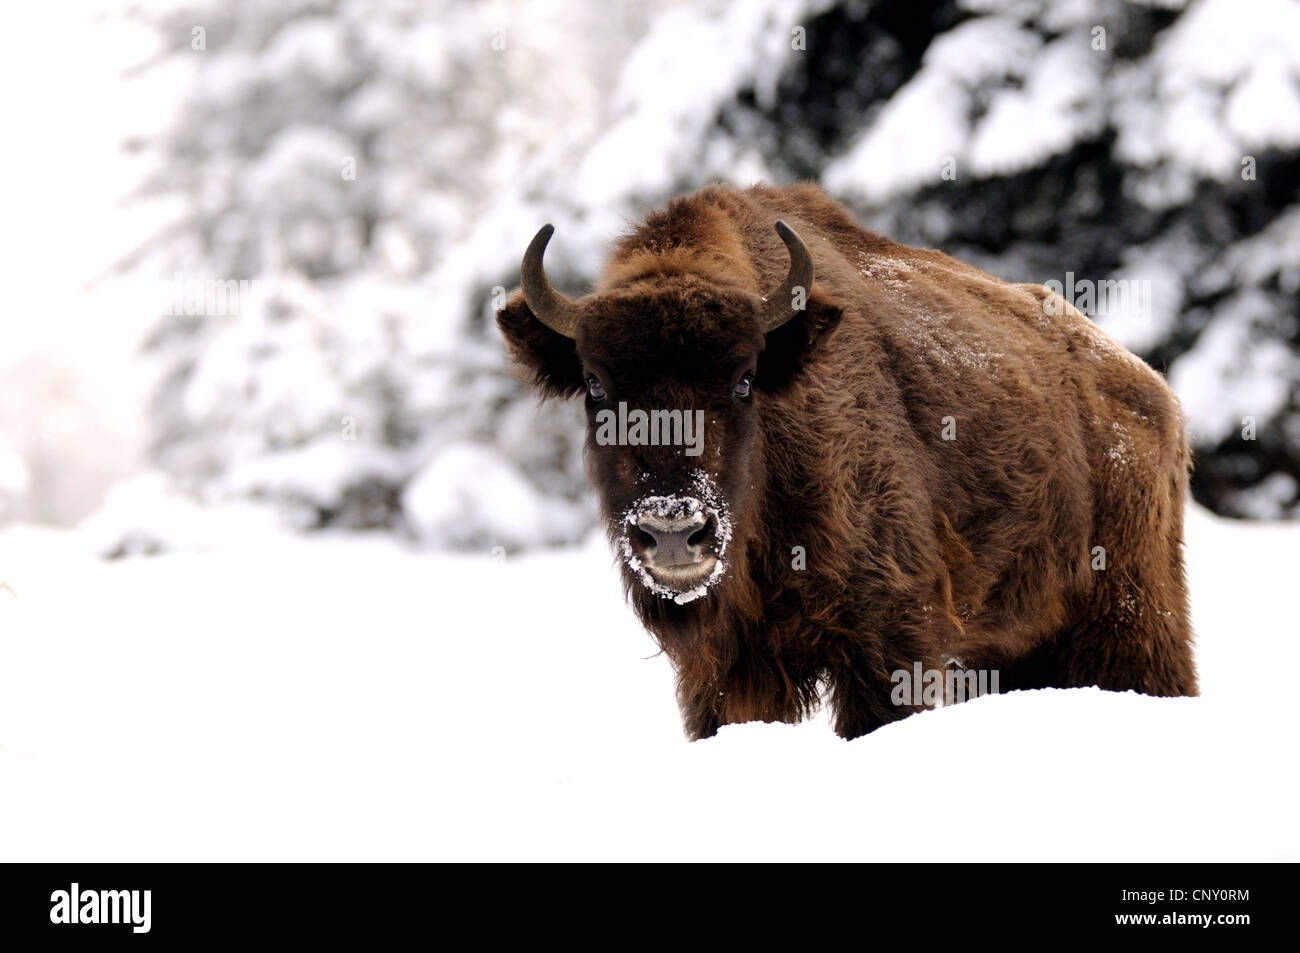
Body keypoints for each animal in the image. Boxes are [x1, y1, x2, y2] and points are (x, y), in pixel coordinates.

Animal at [497, 182, 1197, 740]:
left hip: (1127, 617)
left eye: (744, 379)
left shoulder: (890, 640)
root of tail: (1153, 392)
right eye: (595, 385)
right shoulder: (724, 672)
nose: (673, 529)